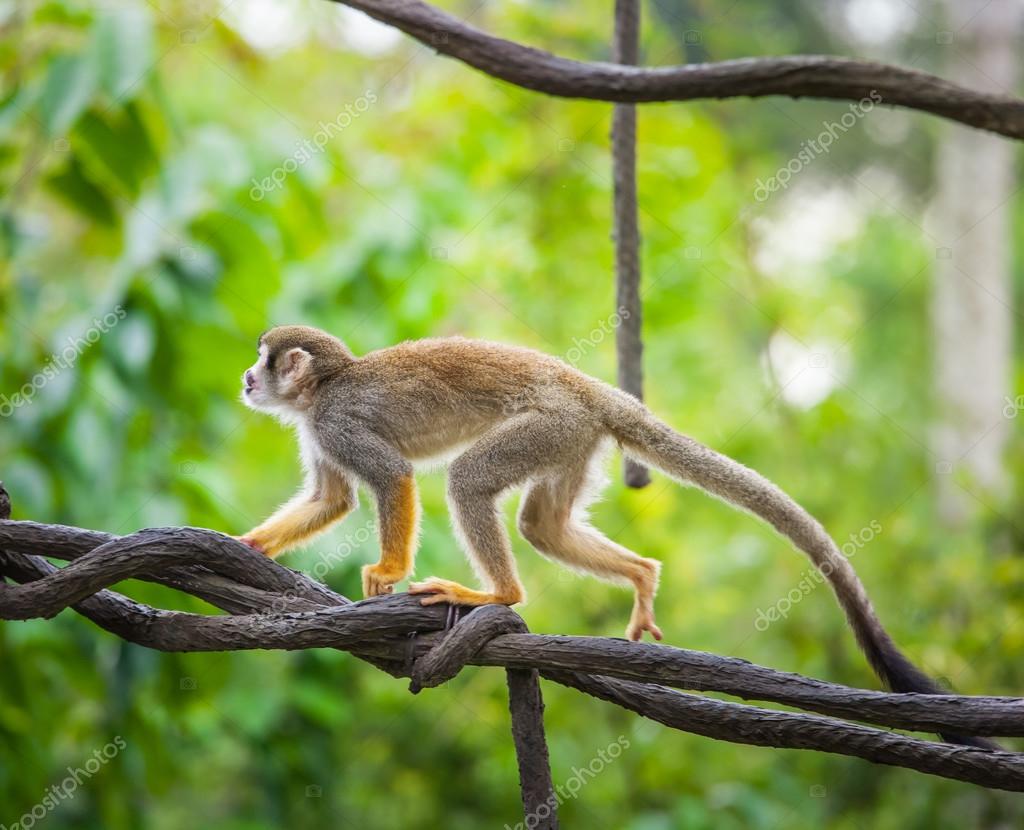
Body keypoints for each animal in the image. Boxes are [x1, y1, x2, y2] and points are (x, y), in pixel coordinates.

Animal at [236, 324, 989, 746]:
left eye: (264, 359)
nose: (246, 378)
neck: (322, 392)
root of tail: (587, 386)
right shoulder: (319, 432)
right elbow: (331, 499)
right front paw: (248, 547)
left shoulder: (336, 422)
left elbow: (391, 477)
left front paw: (387, 571)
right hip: (574, 437)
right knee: (541, 523)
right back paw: (640, 576)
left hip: (550, 421)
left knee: (469, 481)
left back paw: (498, 594)